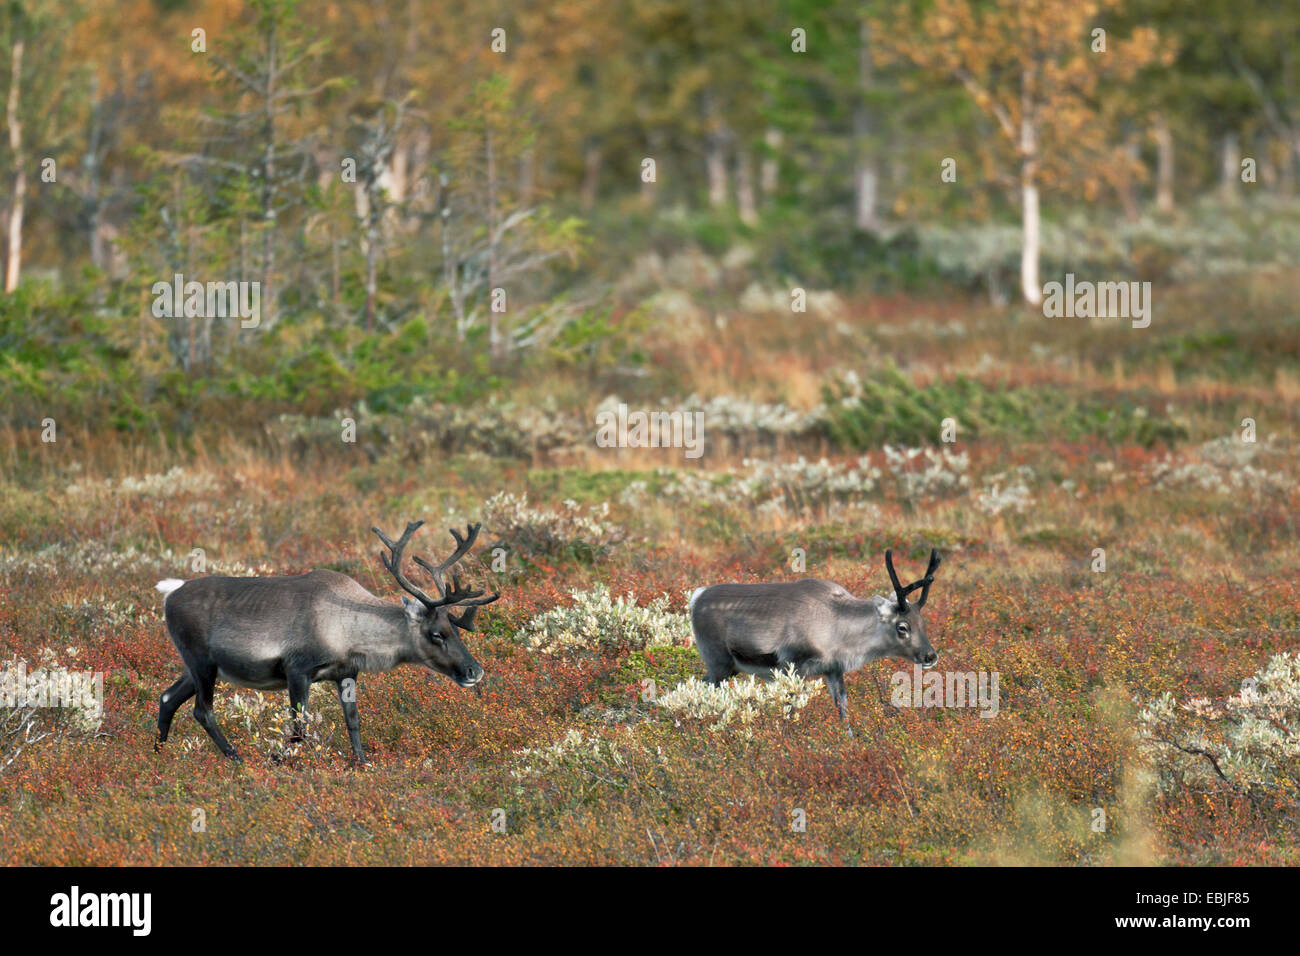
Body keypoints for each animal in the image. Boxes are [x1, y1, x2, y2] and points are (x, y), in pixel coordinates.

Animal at [153, 520, 499, 763]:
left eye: (457, 629)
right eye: (437, 633)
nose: (475, 671)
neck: (349, 629)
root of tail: (171, 593)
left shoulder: (346, 672)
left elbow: (353, 721)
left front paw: (361, 763)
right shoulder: (297, 670)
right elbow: (299, 727)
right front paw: (278, 760)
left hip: (196, 666)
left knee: (168, 698)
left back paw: (157, 754)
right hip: (202, 661)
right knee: (202, 710)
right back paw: (235, 757)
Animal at [688, 548, 942, 729]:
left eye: (923, 623)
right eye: (902, 627)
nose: (930, 655)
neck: (838, 632)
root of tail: (696, 596)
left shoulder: (833, 669)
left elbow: (843, 711)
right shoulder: (791, 664)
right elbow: (790, 711)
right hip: (718, 660)